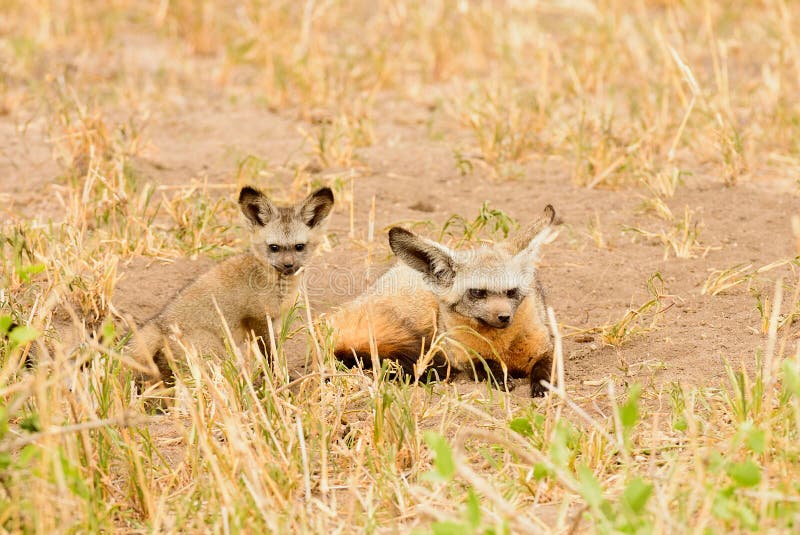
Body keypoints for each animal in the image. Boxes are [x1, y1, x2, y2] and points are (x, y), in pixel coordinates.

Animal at [127, 185, 334, 387]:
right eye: (274, 247)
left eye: (299, 247)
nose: (289, 265)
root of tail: (159, 324)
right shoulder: (259, 320)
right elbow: (271, 356)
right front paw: (279, 382)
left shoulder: (271, 322)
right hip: (215, 357)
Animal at [326, 205, 558, 397]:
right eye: (477, 292)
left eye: (511, 292)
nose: (504, 317)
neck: (499, 344)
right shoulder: (461, 355)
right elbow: (484, 364)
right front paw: (499, 377)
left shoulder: (545, 348)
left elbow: (544, 369)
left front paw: (542, 387)